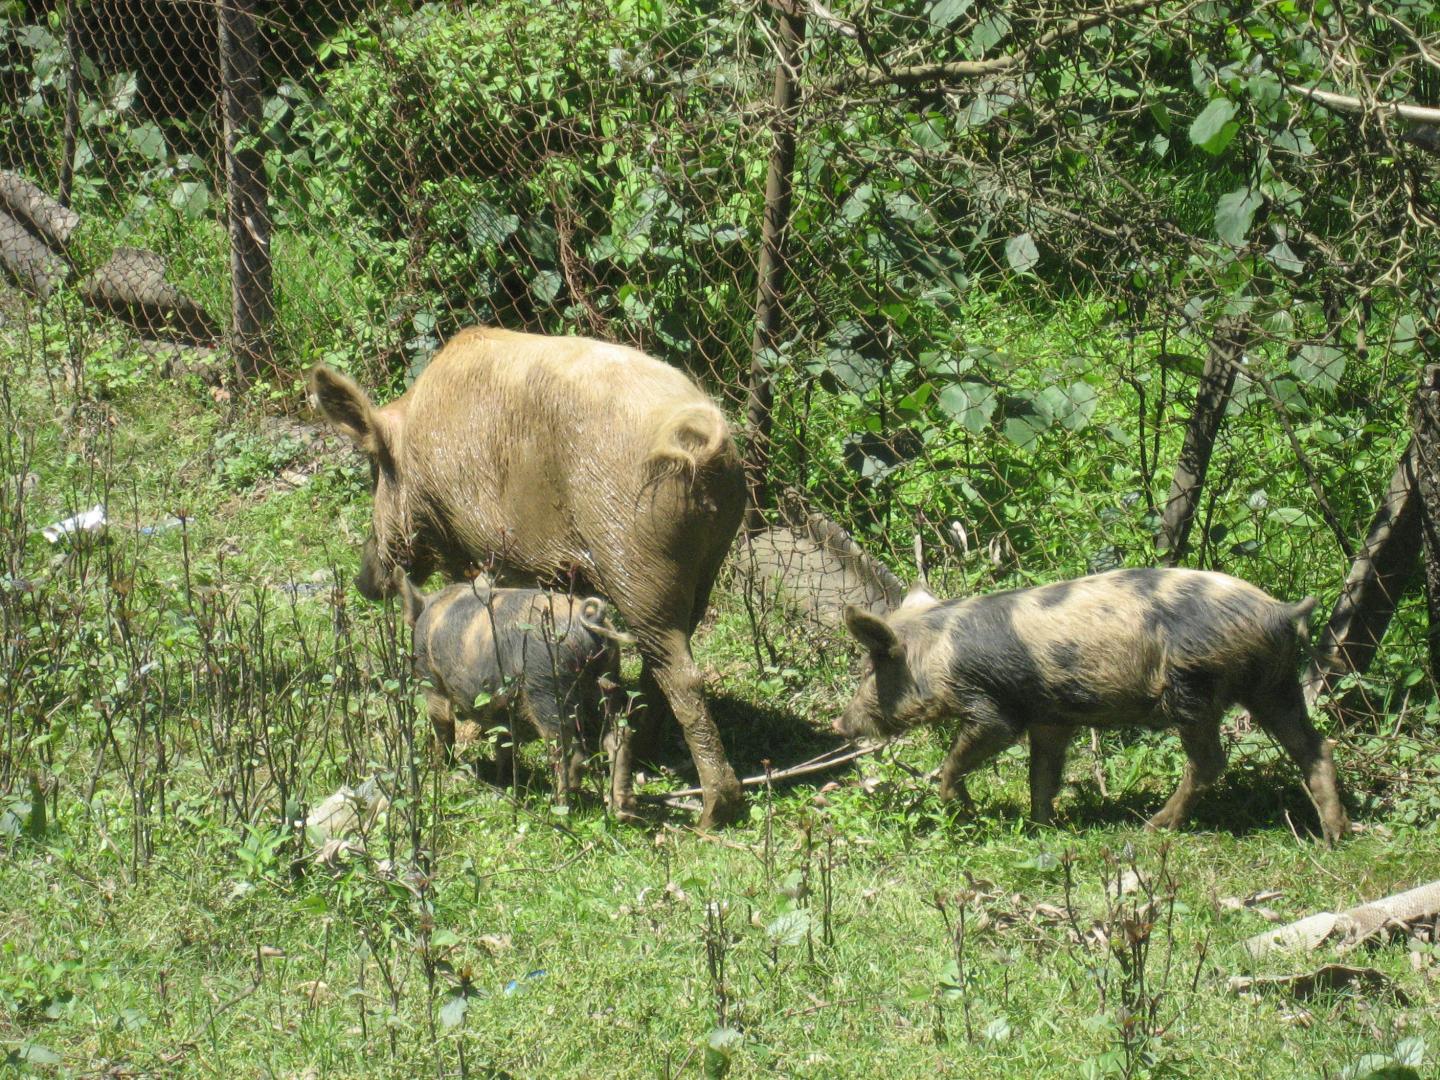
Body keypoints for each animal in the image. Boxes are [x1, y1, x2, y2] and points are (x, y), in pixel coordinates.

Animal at [398, 574, 635, 808]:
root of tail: (591, 620)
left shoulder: (431, 681)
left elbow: (443, 723)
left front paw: (443, 768)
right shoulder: (501, 705)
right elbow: (504, 741)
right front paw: (502, 781)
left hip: (546, 688)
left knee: (569, 752)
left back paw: (559, 806)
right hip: (606, 679)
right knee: (618, 735)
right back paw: (621, 809)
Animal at [836, 568, 1349, 844]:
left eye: (868, 669)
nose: (841, 724)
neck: (939, 651)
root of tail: (1279, 611)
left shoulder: (993, 707)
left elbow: (964, 754)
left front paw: (960, 810)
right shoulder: (1050, 717)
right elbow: (1042, 774)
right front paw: (1041, 826)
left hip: (1195, 687)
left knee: (1209, 762)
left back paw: (1152, 827)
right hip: (1274, 683)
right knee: (1314, 746)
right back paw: (1334, 835)